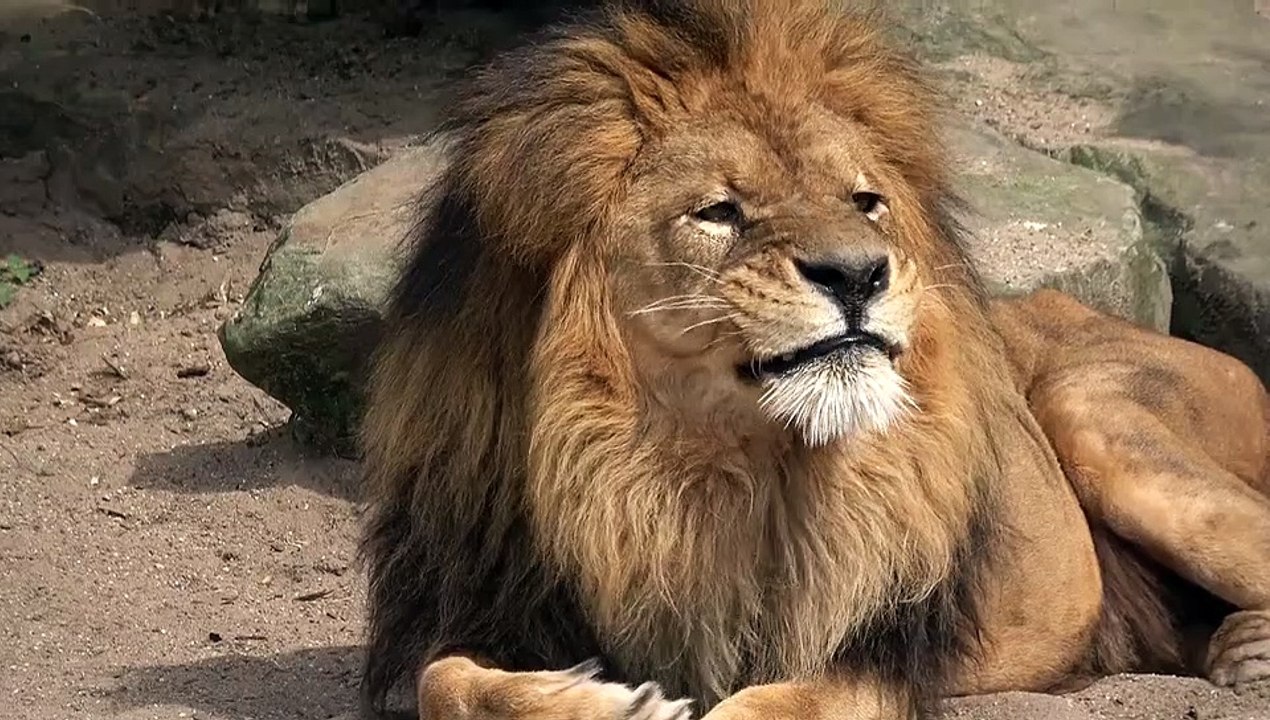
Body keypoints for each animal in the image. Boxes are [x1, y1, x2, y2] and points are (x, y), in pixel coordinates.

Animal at [356, 1, 1270, 718]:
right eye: (719, 211)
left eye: (865, 201)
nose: (858, 273)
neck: (682, 470)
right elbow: (444, 681)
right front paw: (600, 699)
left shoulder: (877, 656)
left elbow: (759, 706)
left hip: (1093, 411)